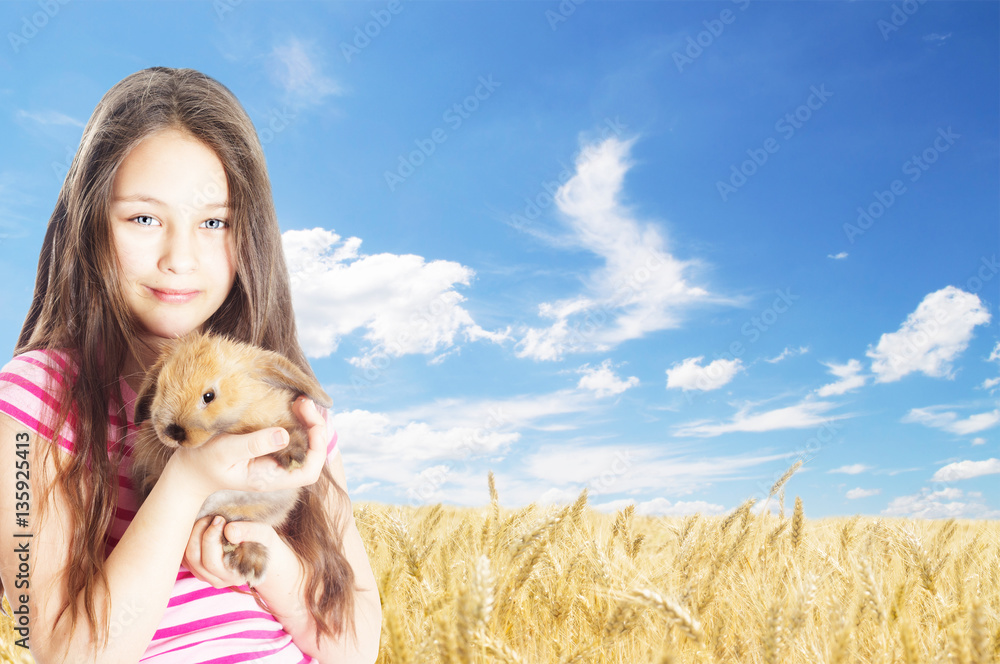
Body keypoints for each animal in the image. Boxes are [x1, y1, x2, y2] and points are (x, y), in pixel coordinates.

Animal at [130, 330, 333, 587]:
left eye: (209, 396)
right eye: (160, 387)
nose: (173, 431)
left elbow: (286, 430)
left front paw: (294, 455)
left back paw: (250, 563)